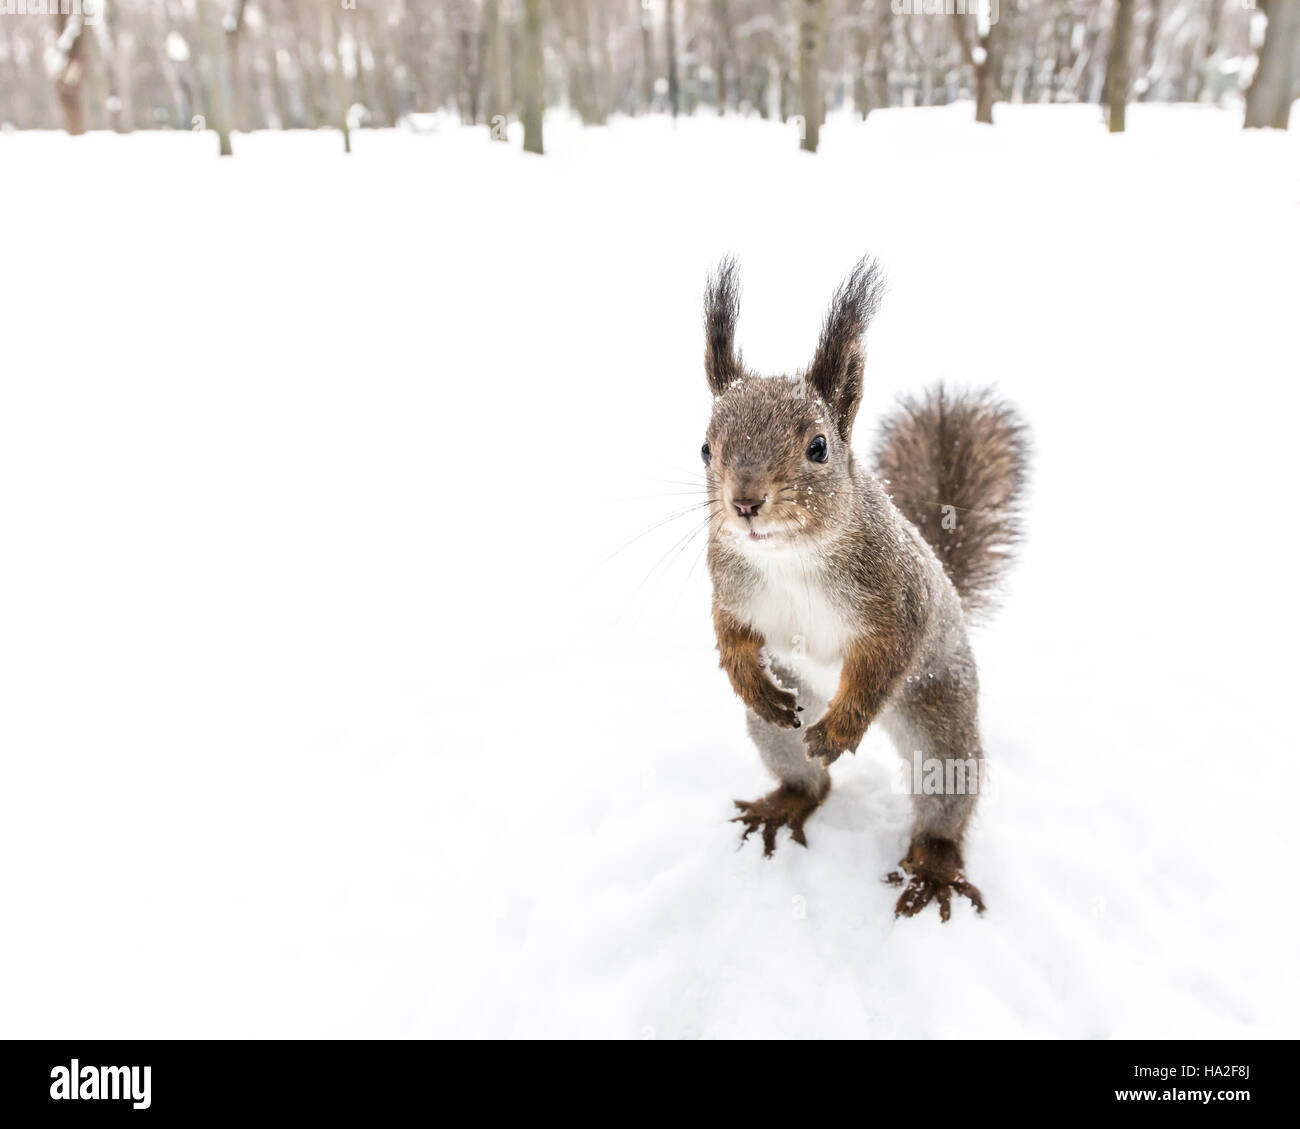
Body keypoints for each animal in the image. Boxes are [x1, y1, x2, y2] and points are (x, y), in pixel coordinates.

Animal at [700, 257, 1029, 922]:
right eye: (704, 449)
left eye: (818, 447)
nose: (744, 503)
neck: (789, 558)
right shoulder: (728, 583)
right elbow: (731, 635)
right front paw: (749, 681)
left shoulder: (898, 598)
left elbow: (886, 657)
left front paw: (839, 730)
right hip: (780, 732)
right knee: (807, 776)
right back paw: (785, 802)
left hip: (940, 717)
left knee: (944, 797)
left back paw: (933, 866)